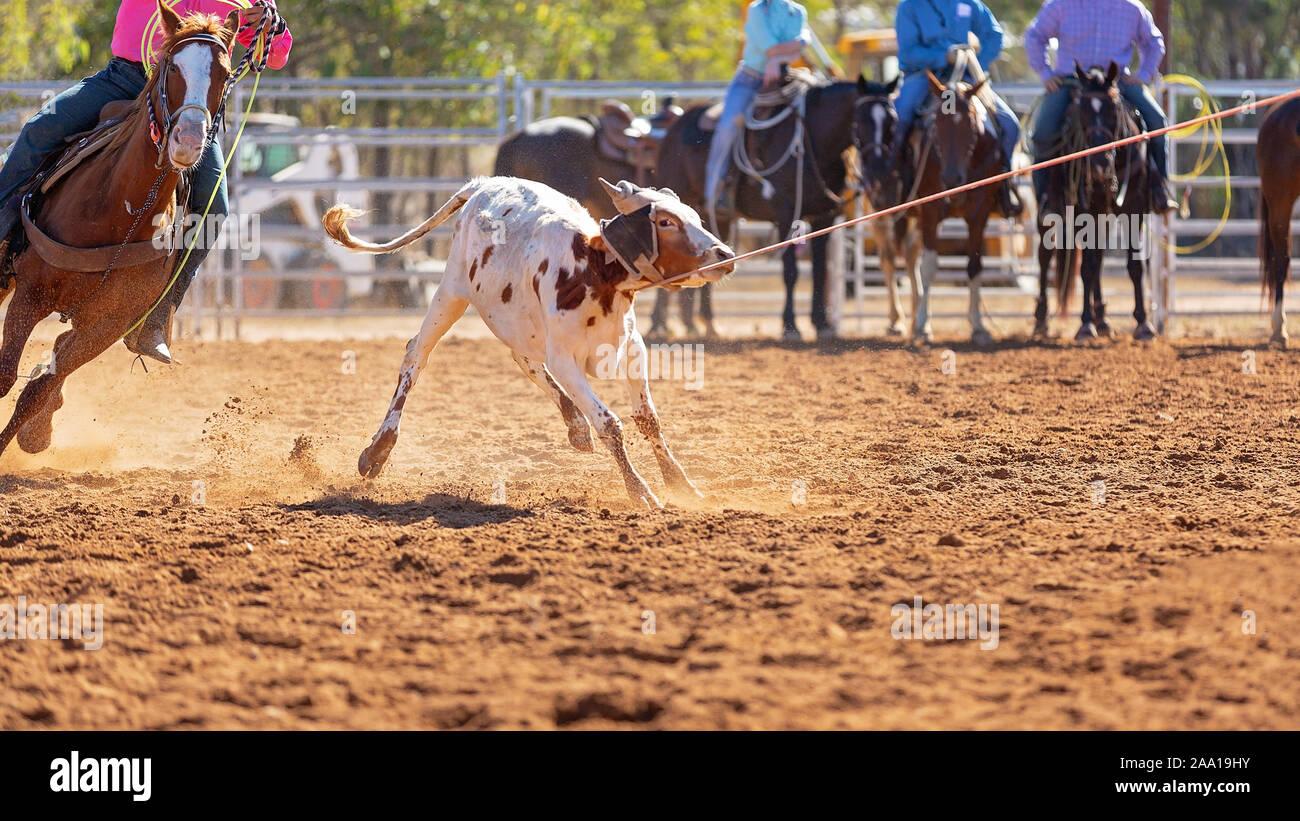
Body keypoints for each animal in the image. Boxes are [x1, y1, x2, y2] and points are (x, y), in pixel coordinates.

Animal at [322, 176, 735, 508]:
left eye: (694, 216)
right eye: (665, 221)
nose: (726, 255)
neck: (594, 270)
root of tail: (483, 183)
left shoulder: (632, 348)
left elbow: (648, 419)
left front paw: (681, 484)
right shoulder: (565, 360)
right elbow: (610, 424)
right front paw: (641, 492)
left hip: (515, 320)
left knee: (525, 361)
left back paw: (575, 426)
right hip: (451, 292)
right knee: (416, 355)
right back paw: (378, 450)